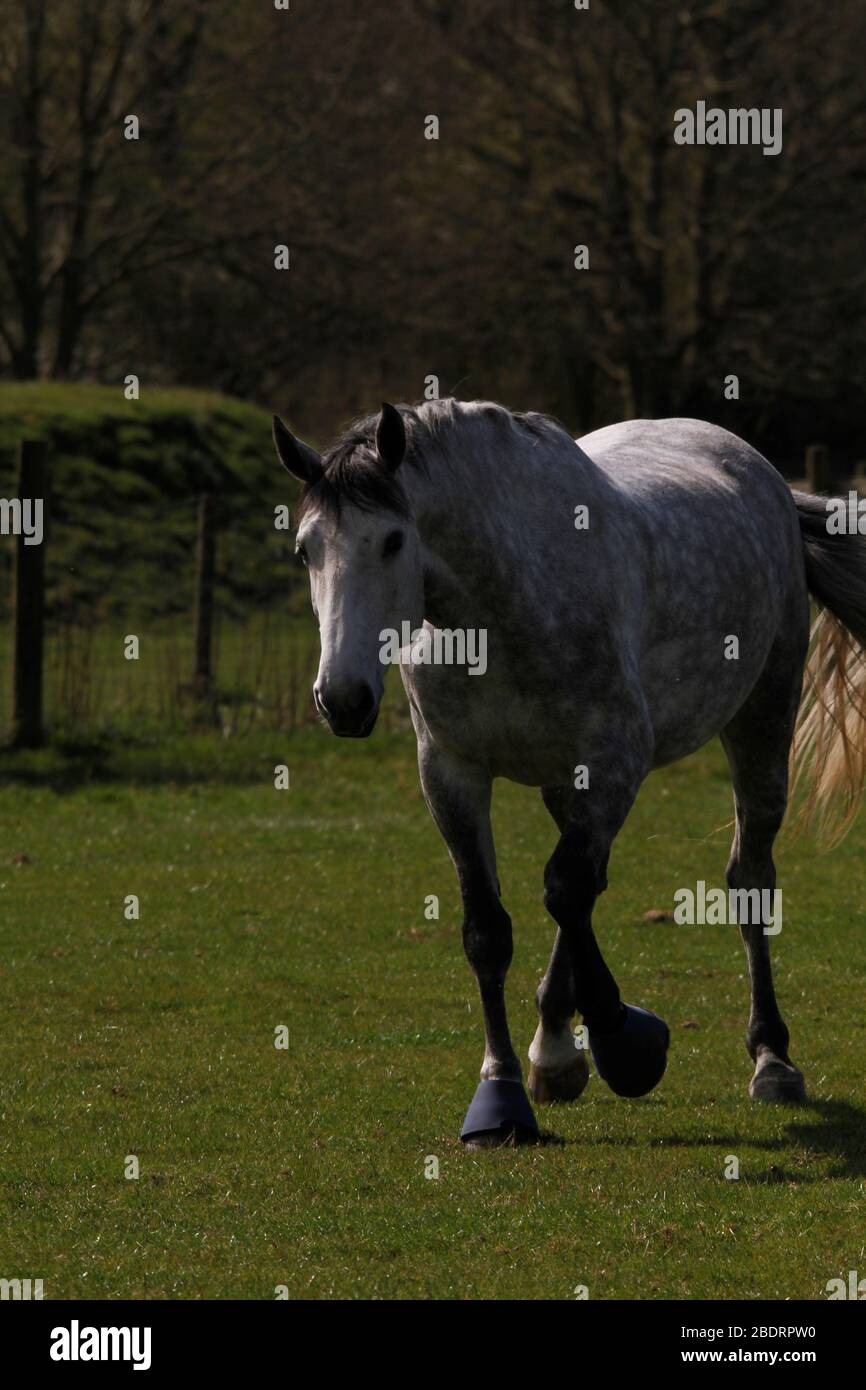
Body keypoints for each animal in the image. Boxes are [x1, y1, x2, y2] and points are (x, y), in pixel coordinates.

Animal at [273, 398, 866, 1148]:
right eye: (306, 550)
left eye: (392, 542)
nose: (342, 699)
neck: (496, 610)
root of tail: (767, 476)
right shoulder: (452, 774)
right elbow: (491, 929)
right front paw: (503, 1090)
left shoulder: (614, 760)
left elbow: (563, 890)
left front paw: (624, 1041)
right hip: (567, 784)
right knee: (583, 890)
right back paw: (555, 1046)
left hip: (761, 718)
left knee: (745, 878)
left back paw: (772, 1058)